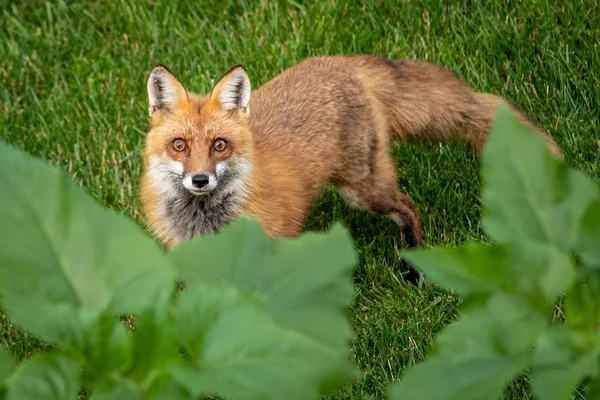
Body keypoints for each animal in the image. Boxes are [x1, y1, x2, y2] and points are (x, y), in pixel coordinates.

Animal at [139, 55, 564, 282]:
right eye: (180, 145)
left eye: (219, 145)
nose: (200, 180)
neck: (207, 223)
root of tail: (344, 61)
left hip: (363, 190)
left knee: (409, 207)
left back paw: (414, 269)